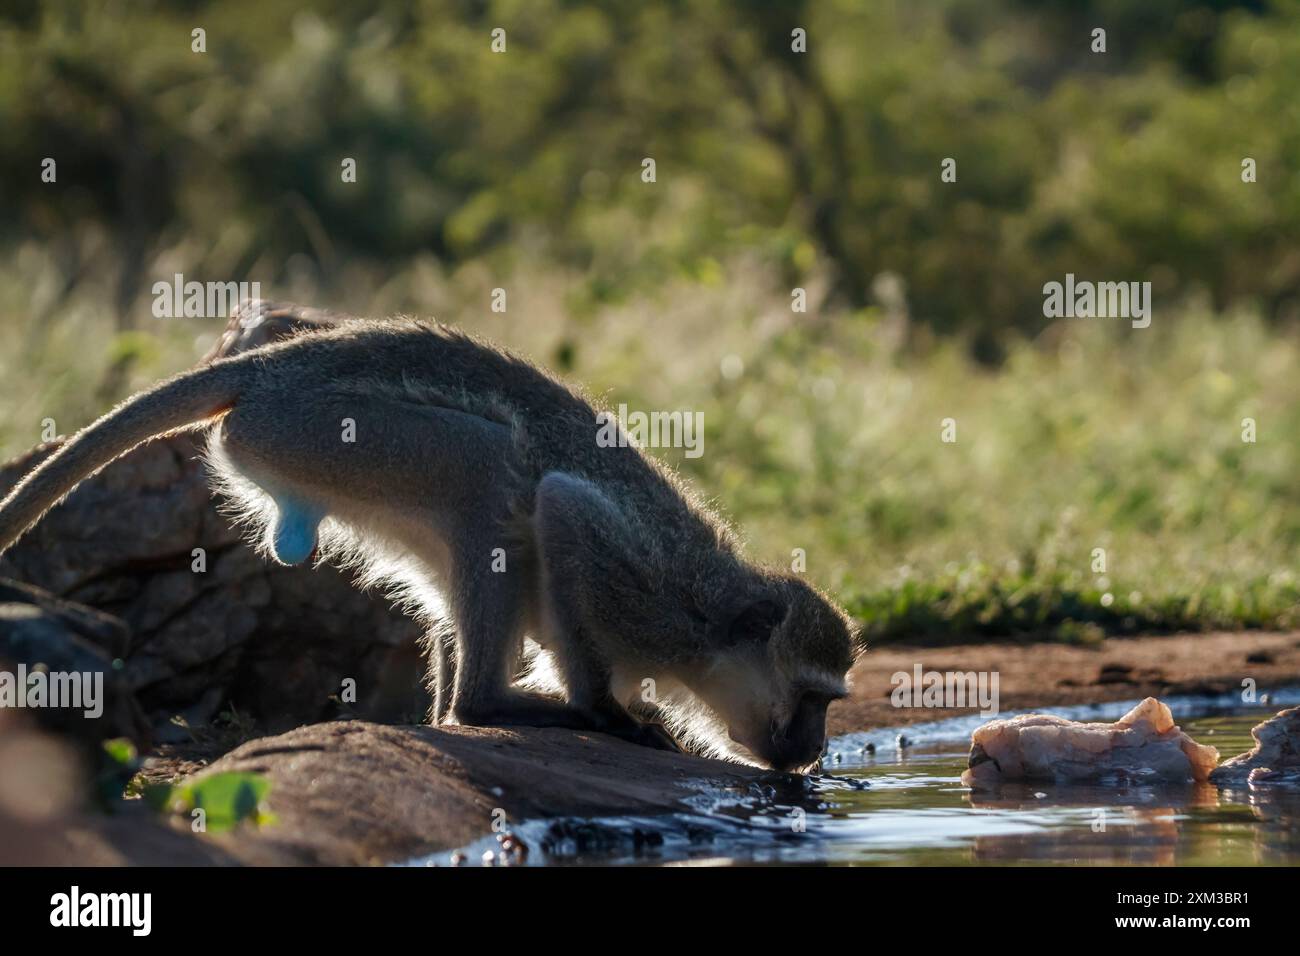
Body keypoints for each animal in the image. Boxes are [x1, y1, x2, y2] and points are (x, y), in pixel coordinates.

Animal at [0, 310, 859, 772]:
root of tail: (275, 365)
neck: (709, 636)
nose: (813, 750)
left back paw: (459, 702)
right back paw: (491, 703)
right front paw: (607, 711)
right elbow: (562, 505)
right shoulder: (646, 593)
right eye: (812, 698)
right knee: (491, 468)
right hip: (324, 428)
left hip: (307, 446)